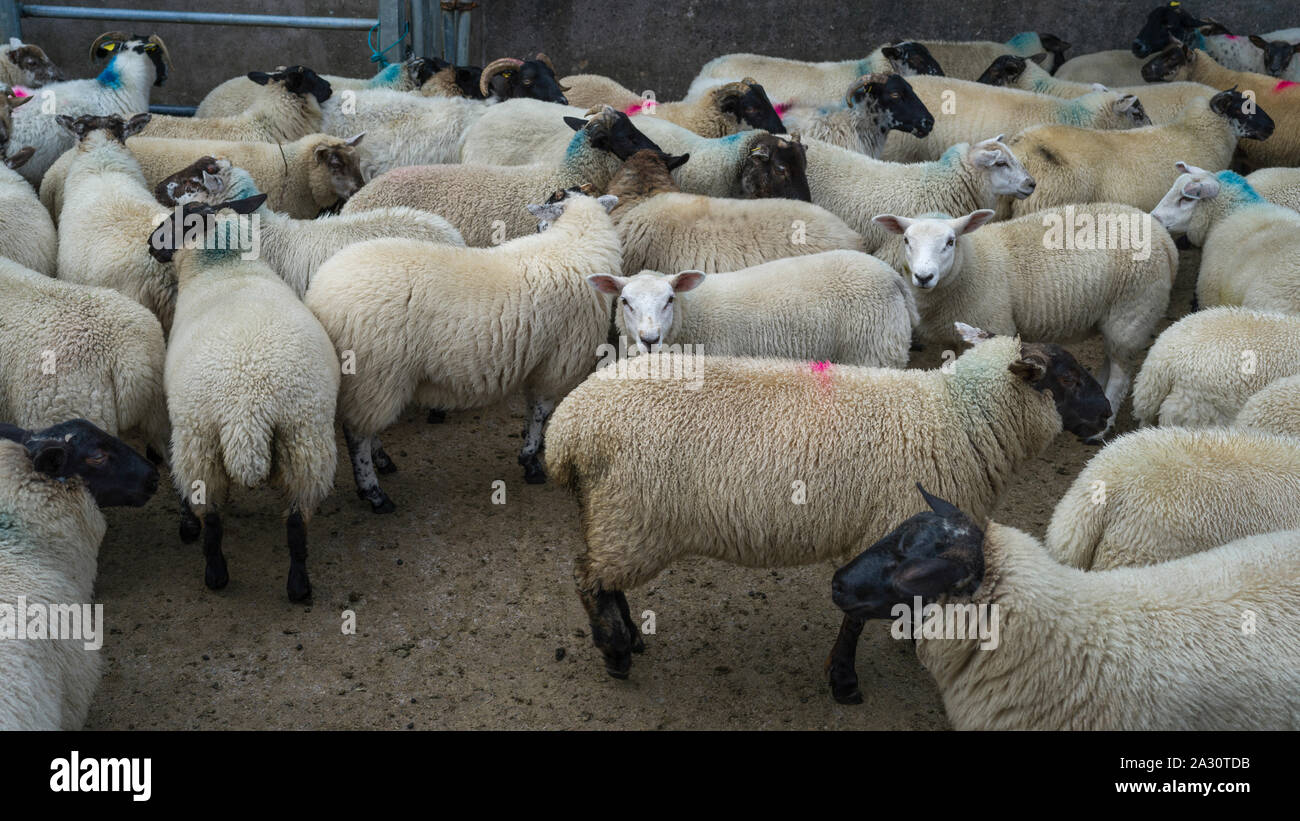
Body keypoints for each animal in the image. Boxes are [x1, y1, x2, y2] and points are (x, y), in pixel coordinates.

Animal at [149, 194, 339, 602]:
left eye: (176, 218)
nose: (149, 245)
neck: (226, 266)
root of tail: (248, 407)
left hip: (197, 444)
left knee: (211, 519)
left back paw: (216, 575)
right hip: (305, 440)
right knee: (297, 522)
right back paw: (299, 586)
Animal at [305, 191, 621, 513]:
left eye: (544, 223)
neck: (573, 244)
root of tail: (318, 294)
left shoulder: (539, 362)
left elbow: (531, 410)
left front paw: (528, 453)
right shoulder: (557, 362)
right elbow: (540, 413)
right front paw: (531, 460)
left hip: (371, 378)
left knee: (365, 426)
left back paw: (382, 461)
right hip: (376, 371)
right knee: (357, 433)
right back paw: (374, 492)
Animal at [544, 326, 1110, 678]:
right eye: (1067, 378)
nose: (1106, 414)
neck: (958, 416)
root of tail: (566, 430)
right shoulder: (890, 531)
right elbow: (859, 615)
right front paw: (846, 677)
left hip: (614, 516)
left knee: (603, 577)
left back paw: (629, 636)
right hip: (632, 515)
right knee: (586, 577)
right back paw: (615, 653)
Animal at [586, 251, 916, 367]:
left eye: (669, 299)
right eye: (625, 302)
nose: (650, 339)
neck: (692, 315)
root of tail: (893, 277)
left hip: (874, 351)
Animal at [873, 205, 1176, 435]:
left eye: (950, 242)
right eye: (906, 241)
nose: (923, 277)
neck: (969, 265)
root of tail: (1164, 237)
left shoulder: (993, 324)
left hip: (1133, 309)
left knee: (1121, 372)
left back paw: (1104, 422)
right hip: (1116, 315)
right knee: (1110, 359)